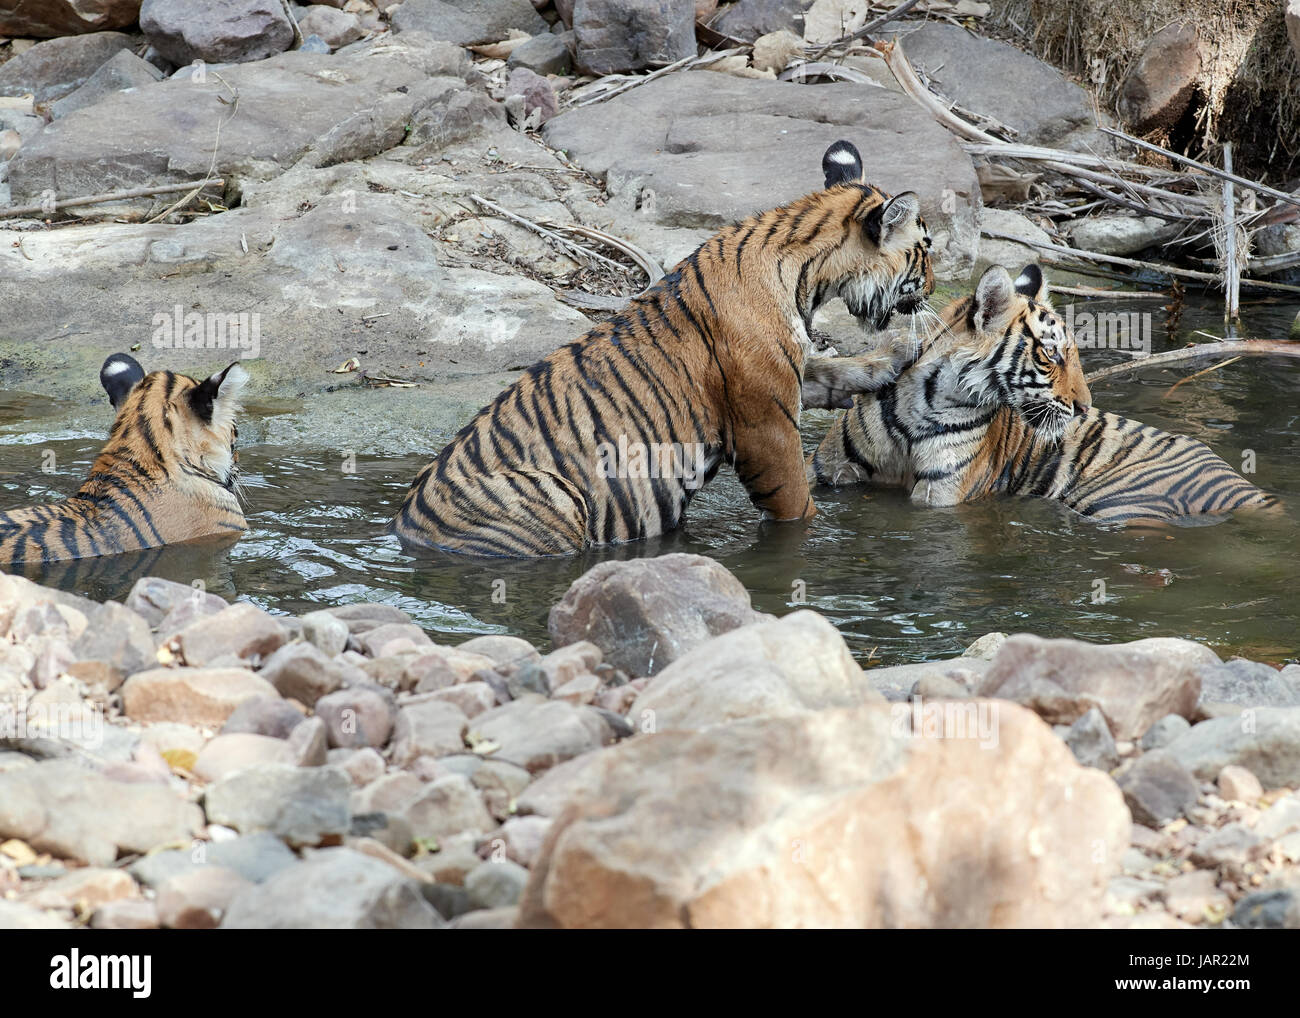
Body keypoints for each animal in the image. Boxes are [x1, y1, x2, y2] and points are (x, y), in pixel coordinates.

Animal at [393, 139, 935, 557]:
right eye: (926, 251)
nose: (932, 288)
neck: (807, 275)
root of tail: (405, 526)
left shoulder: (789, 374)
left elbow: (835, 369)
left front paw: (899, 355)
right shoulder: (764, 424)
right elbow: (795, 501)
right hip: (553, 496)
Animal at [809, 263, 1277, 522]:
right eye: (1051, 354)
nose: (1085, 406)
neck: (924, 402)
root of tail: (1251, 488)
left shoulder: (942, 495)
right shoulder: (826, 470)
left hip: (1117, 503)